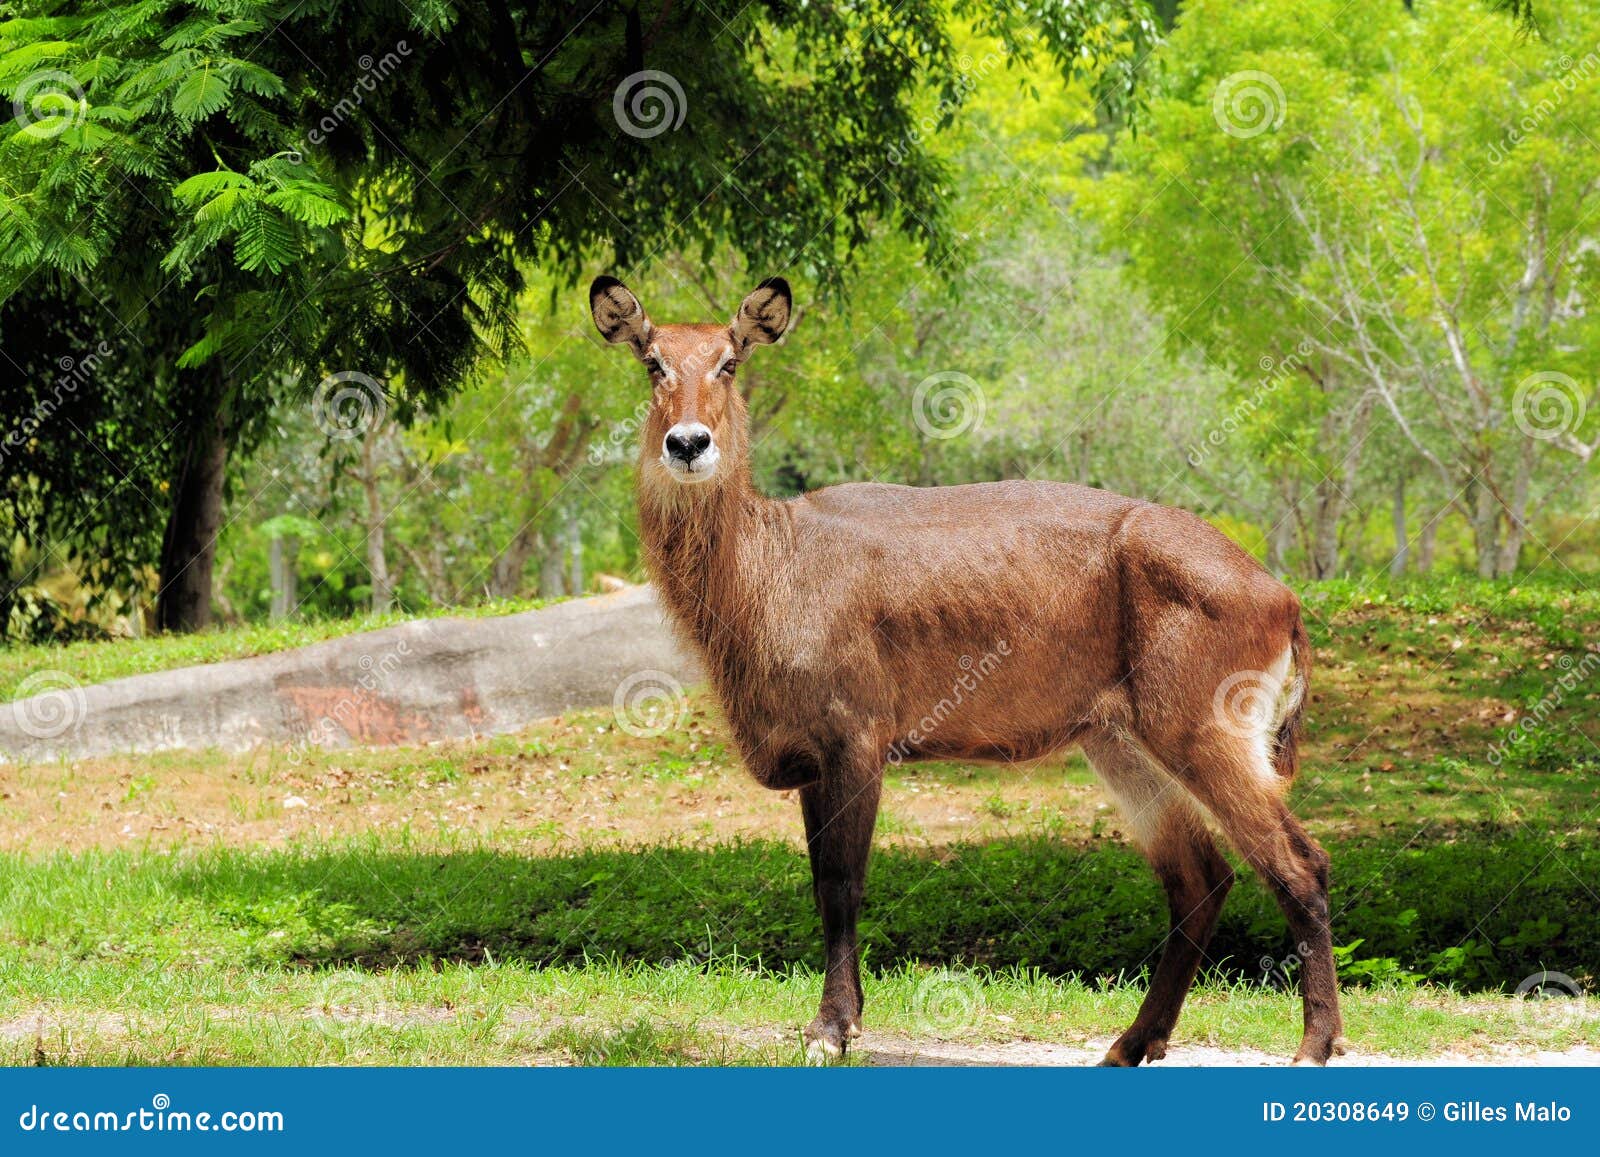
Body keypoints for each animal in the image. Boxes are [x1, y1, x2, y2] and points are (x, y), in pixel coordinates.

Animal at [590, 275, 1346, 1066]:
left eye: (729, 361)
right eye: (652, 361)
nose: (687, 443)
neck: (774, 565)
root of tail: (1282, 596)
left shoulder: (857, 736)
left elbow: (842, 884)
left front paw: (832, 1028)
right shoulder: (814, 758)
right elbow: (820, 883)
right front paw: (840, 1020)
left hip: (1204, 729)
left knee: (1301, 863)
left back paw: (1313, 1043)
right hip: (1120, 741)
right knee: (1200, 879)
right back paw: (1131, 1043)